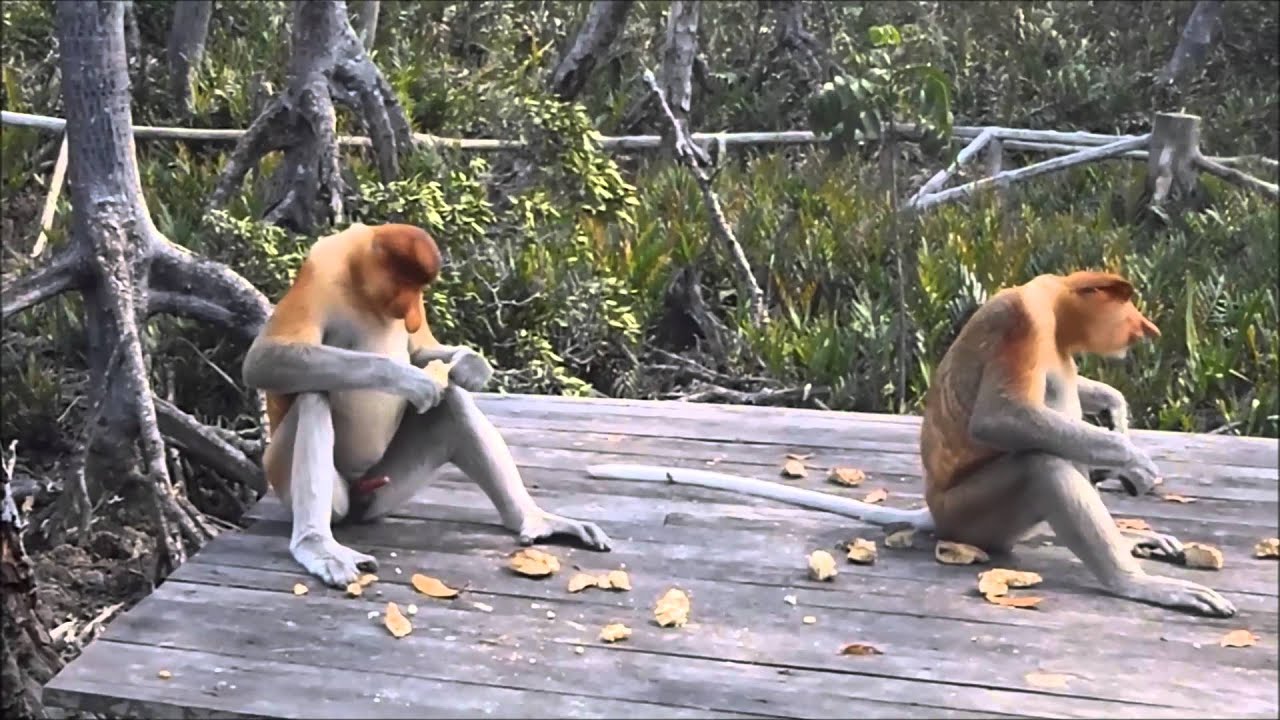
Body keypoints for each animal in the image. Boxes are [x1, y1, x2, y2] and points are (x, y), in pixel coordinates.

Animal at [242, 222, 611, 588]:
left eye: (421, 289)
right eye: (405, 285)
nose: (414, 316)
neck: (360, 282)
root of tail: (360, 489)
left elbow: (422, 352)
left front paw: (471, 366)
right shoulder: (321, 269)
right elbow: (263, 360)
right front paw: (412, 380)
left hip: (384, 490)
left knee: (452, 401)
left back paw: (536, 519)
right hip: (291, 481)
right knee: (313, 395)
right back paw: (318, 544)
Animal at [588, 271, 1235, 617]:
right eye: (1129, 307)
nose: (1146, 329)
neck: (1053, 303)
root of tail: (934, 511)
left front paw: (1117, 413)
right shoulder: (1024, 322)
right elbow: (1001, 419)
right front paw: (1136, 459)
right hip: (973, 515)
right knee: (1042, 464)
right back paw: (1137, 581)